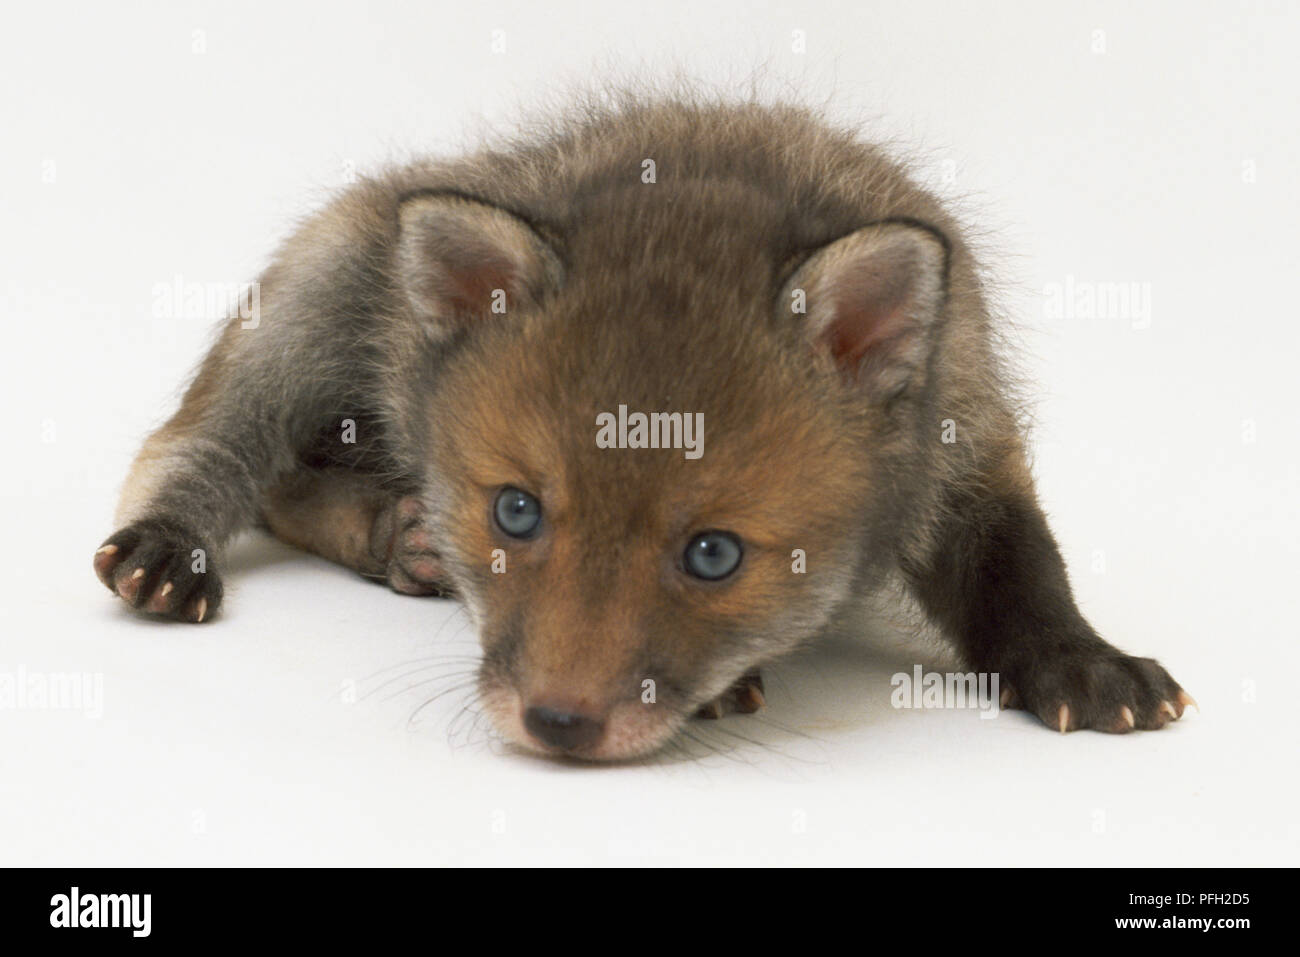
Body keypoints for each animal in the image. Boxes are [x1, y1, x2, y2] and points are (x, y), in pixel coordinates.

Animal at [93, 93, 1193, 760]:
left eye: (712, 554)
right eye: (517, 513)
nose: (557, 724)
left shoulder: (966, 433)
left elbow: (1022, 565)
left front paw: (1081, 658)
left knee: (288, 486)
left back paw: (397, 534)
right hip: (323, 289)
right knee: (215, 450)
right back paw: (177, 544)